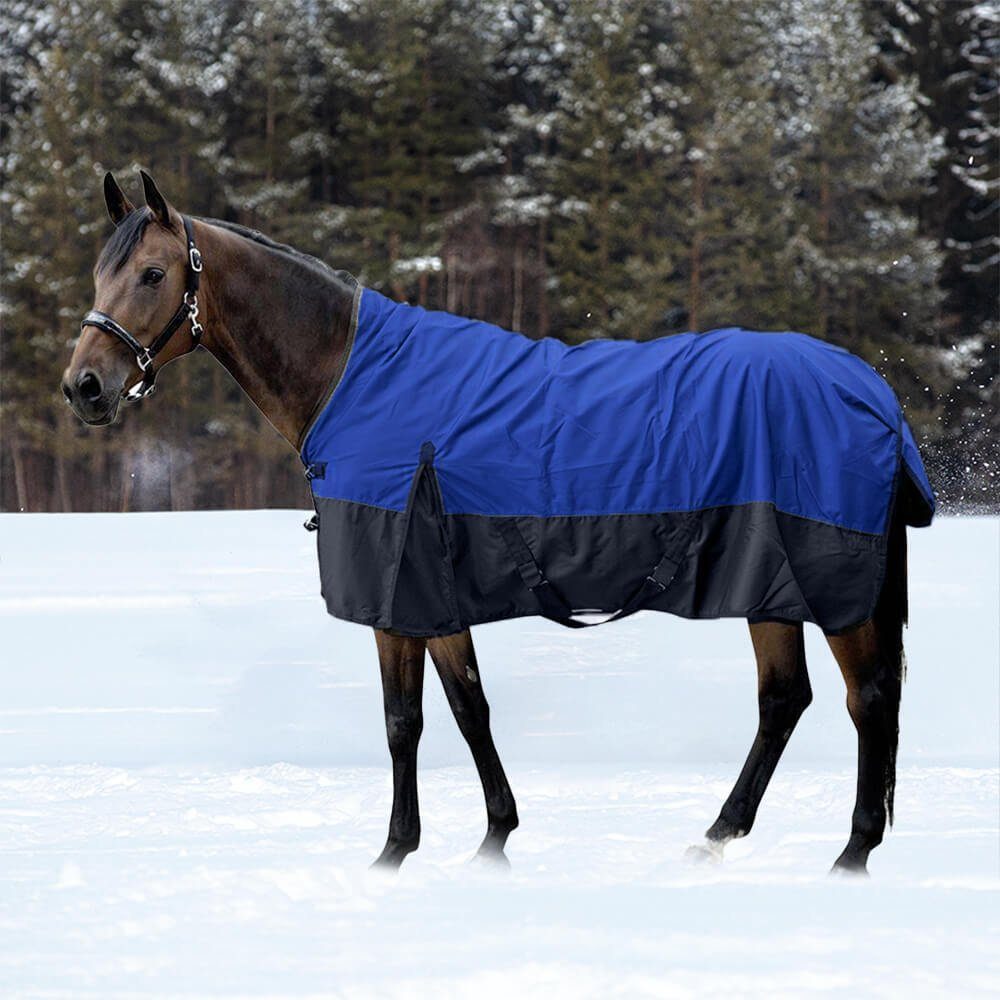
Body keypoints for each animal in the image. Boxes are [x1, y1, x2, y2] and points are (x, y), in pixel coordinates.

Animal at [61, 170, 934, 874]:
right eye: (100, 272)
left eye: (152, 273)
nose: (84, 387)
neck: (352, 377)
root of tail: (869, 391)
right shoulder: (435, 598)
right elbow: (469, 708)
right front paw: (494, 838)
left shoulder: (397, 598)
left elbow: (404, 722)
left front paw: (394, 851)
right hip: (769, 585)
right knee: (785, 701)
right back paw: (717, 837)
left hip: (833, 588)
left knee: (867, 699)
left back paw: (853, 852)